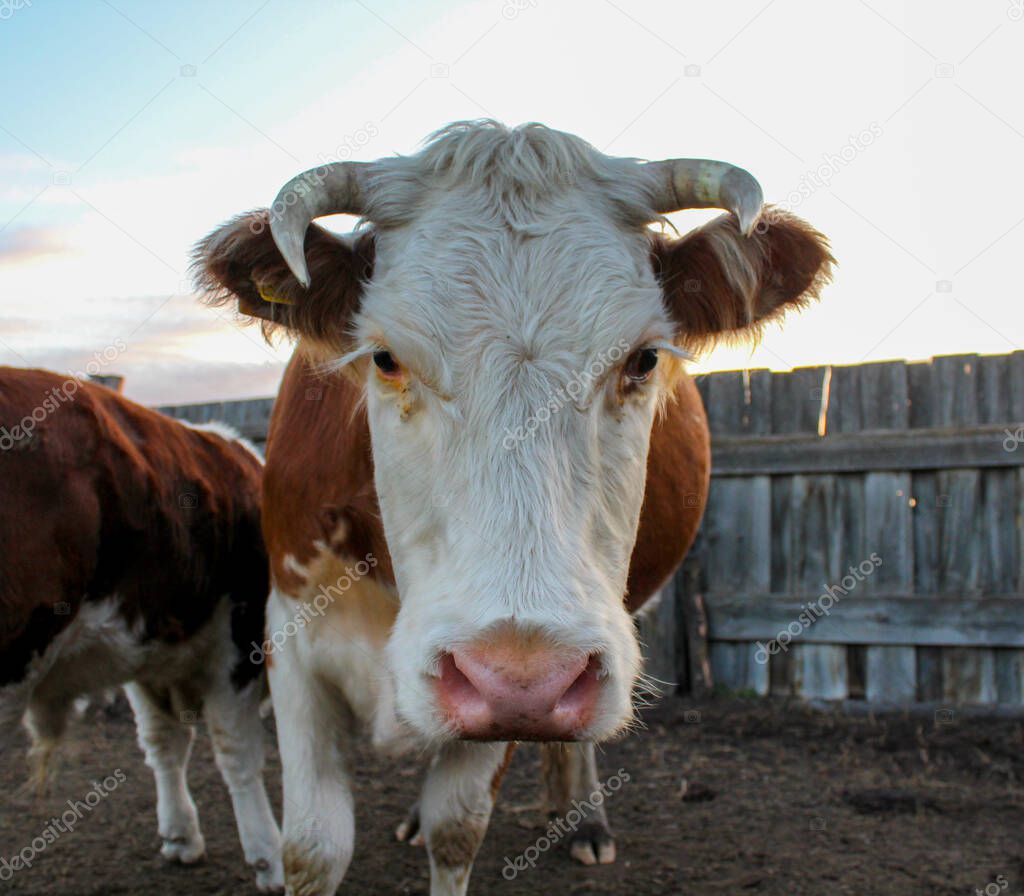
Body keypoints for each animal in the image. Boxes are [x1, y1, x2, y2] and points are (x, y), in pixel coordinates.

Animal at [0, 368, 283, 892]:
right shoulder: (239, 642)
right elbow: (237, 753)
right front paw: (270, 857)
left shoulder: (147, 652)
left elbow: (163, 744)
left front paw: (180, 833)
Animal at [194, 120, 833, 895]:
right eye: (385, 358)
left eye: (644, 359)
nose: (525, 679)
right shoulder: (293, 642)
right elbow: (314, 848)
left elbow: (457, 829)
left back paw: (582, 818)